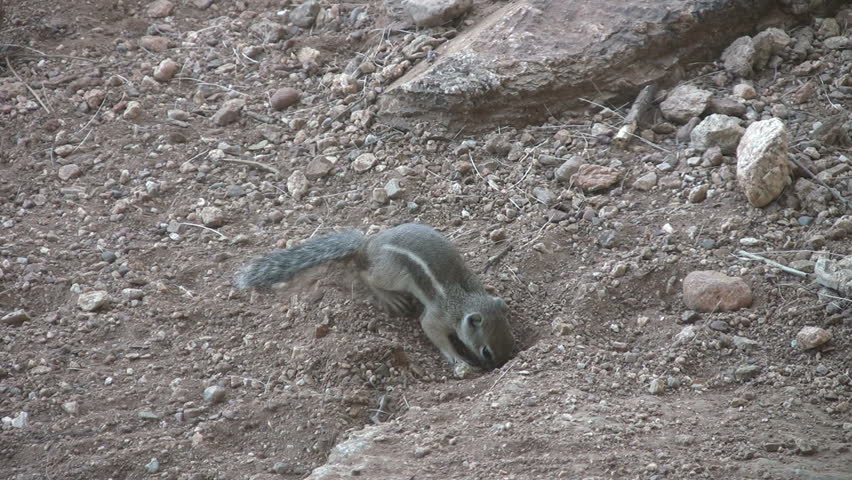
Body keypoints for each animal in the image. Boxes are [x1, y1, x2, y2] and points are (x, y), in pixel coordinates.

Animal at [236, 223, 514, 371]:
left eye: (511, 340)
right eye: (486, 351)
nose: (497, 366)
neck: (467, 300)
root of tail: (366, 245)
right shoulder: (438, 316)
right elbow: (430, 329)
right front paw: (456, 357)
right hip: (389, 273)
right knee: (365, 276)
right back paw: (390, 298)